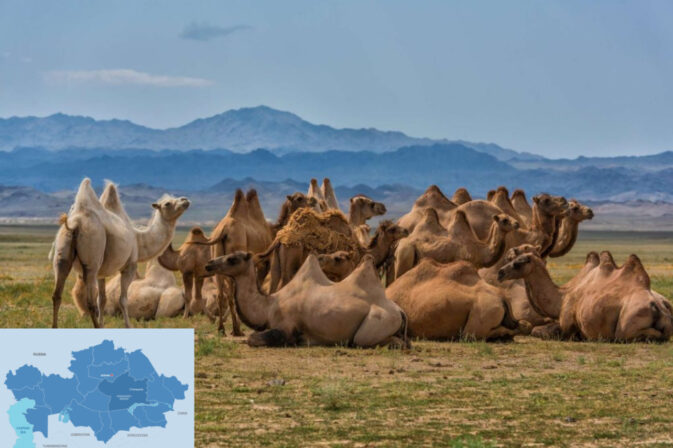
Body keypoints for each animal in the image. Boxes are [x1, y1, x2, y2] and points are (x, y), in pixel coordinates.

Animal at [50, 178, 189, 328]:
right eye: (167, 203)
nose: (185, 200)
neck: (138, 239)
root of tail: (75, 224)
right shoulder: (129, 266)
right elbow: (122, 299)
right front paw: (128, 325)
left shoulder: (101, 273)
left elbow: (102, 299)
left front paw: (103, 324)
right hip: (92, 258)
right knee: (90, 301)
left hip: (62, 253)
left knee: (57, 295)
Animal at [205, 251, 408, 348]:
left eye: (232, 259)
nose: (209, 264)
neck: (268, 306)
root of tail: (400, 311)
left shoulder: (287, 326)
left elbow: (253, 338)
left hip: (378, 321)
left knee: (363, 340)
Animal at [208, 189, 273, 335]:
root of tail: (223, 231)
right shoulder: (263, 262)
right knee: (231, 294)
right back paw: (236, 329)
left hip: (218, 260)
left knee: (221, 294)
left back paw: (222, 329)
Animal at [497, 250, 673, 341]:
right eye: (511, 258)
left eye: (518, 263)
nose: (500, 272)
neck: (562, 297)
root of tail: (657, 306)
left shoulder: (567, 323)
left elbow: (537, 330)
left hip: (628, 322)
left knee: (627, 335)